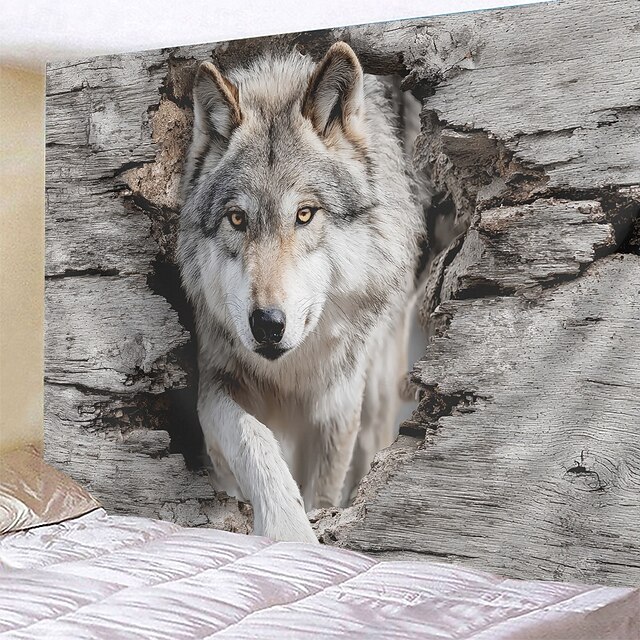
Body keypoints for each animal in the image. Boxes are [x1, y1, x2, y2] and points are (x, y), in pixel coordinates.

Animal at [177, 42, 427, 543]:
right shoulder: (216, 380)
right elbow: (253, 440)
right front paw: (286, 529)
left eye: (305, 214)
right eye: (237, 219)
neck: (288, 375)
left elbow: (325, 493)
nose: (267, 324)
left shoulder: (338, 405)